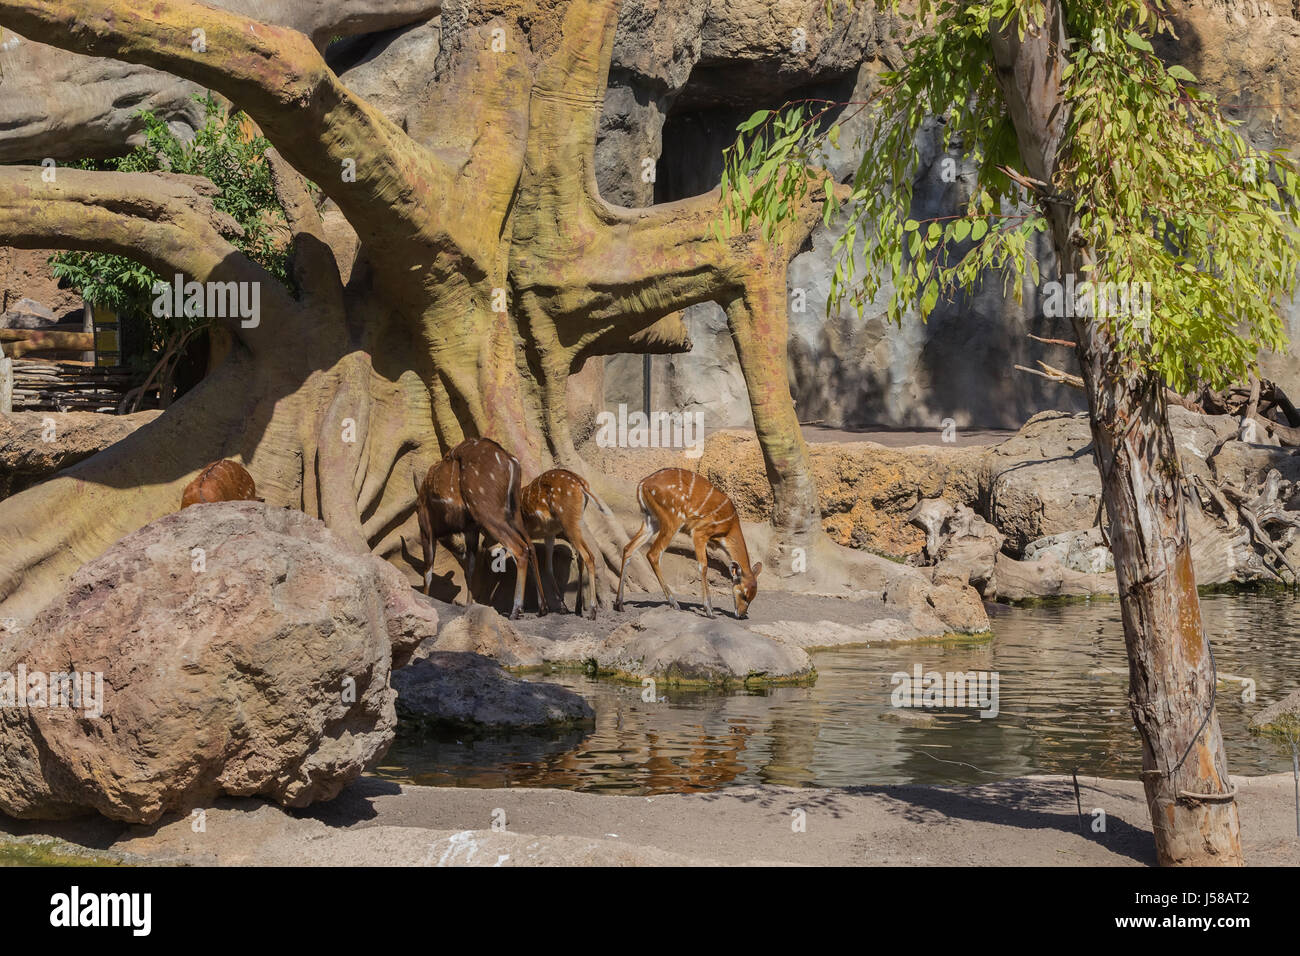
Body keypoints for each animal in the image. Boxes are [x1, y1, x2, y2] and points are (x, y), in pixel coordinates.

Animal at [413, 437, 549, 620]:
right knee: (531, 546)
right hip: (513, 514)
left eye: (417, 508)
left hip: (488, 513)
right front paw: (469, 605)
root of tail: (511, 462)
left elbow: (428, 570)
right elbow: (470, 567)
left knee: (520, 548)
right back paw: (542, 608)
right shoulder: (471, 528)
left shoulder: (426, 527)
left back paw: (515, 610)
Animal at [522, 469, 613, 620]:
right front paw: (561, 606)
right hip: (577, 523)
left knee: (588, 556)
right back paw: (578, 608)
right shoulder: (549, 534)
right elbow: (547, 567)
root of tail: (582, 485)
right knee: (583, 556)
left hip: (568, 522)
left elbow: (531, 562)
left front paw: (541, 609)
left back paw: (592, 611)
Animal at [615, 467, 762, 619]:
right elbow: (703, 566)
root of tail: (642, 484)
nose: (741, 614)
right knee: (653, 553)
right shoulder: (699, 533)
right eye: (744, 594)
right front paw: (709, 610)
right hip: (672, 519)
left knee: (628, 548)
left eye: (753, 597)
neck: (728, 529)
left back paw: (619, 604)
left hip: (650, 520)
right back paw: (674, 603)